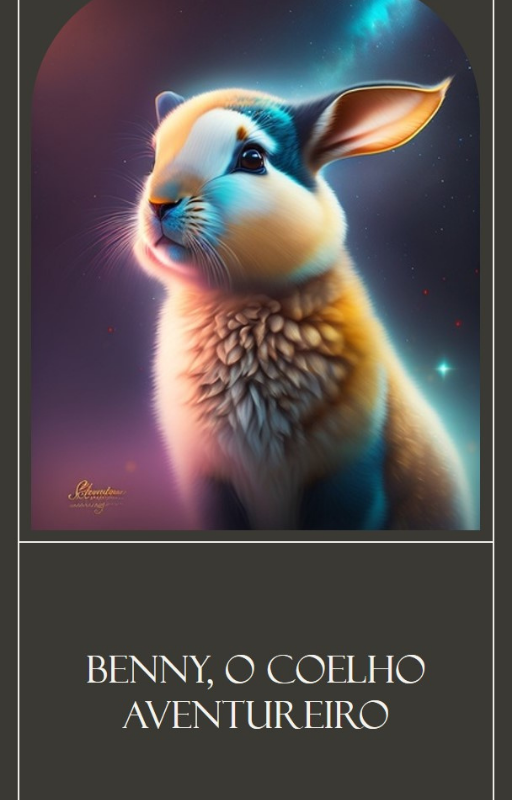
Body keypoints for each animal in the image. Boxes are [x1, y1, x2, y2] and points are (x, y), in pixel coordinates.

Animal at [133, 80, 473, 531]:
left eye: (253, 158)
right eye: (155, 157)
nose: (159, 203)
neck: (238, 299)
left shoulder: (349, 480)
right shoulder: (211, 482)